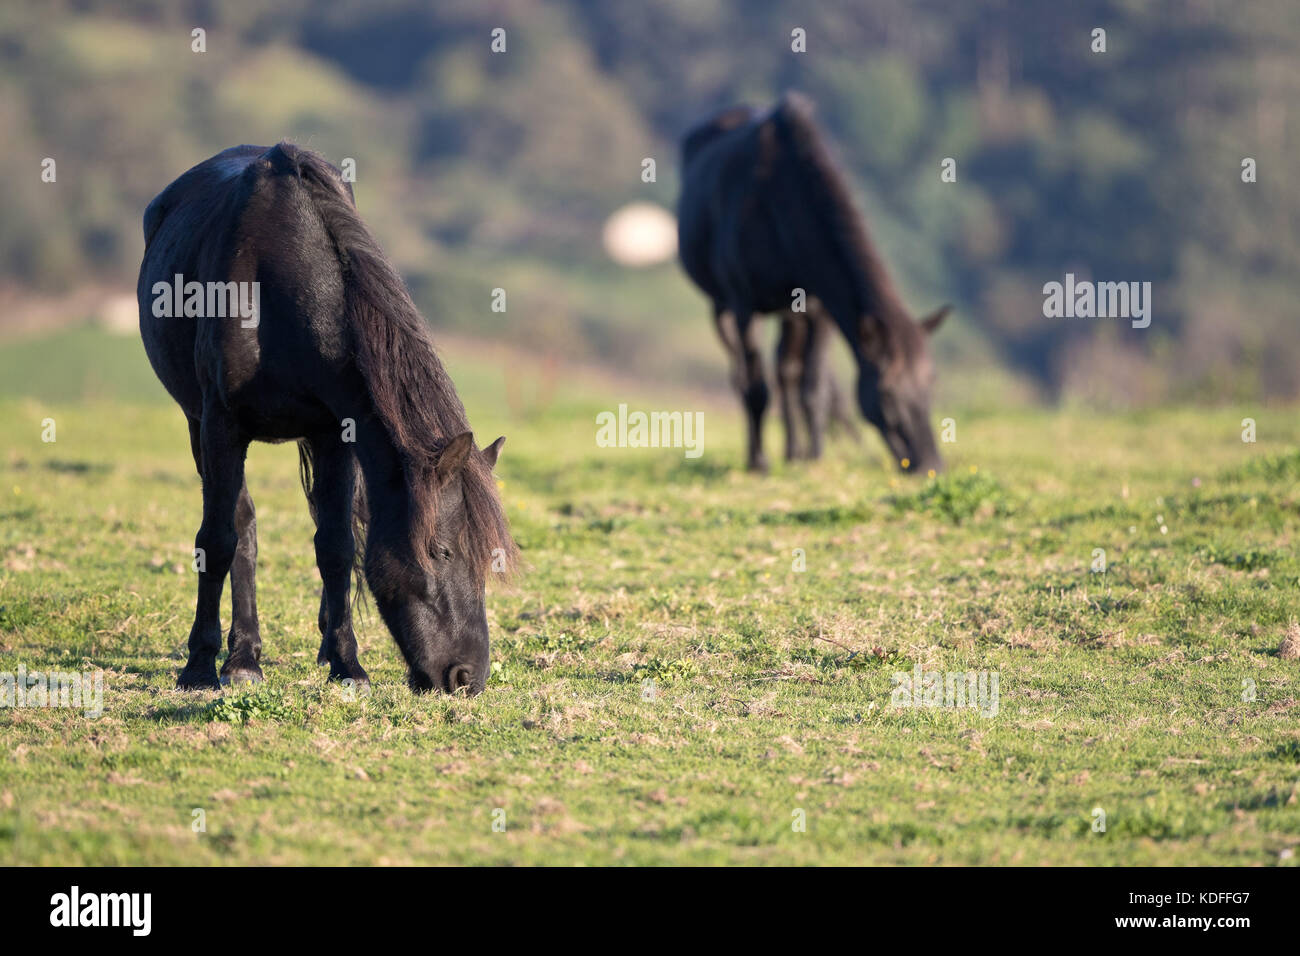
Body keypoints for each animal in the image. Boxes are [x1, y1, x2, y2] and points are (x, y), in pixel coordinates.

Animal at [137, 142, 516, 695]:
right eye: (442, 551)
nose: (468, 676)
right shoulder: (218, 426)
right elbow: (219, 541)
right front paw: (200, 665)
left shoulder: (335, 434)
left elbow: (337, 547)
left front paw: (347, 664)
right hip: (198, 426)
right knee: (242, 527)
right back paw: (242, 657)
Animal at [677, 93, 949, 474]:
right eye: (887, 393)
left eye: (931, 383)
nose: (930, 464)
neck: (776, 202)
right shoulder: (744, 304)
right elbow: (757, 388)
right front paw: (760, 462)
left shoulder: (819, 308)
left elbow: (813, 387)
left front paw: (814, 456)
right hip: (721, 308)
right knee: (743, 376)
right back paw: (757, 453)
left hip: (791, 313)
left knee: (786, 372)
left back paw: (794, 451)